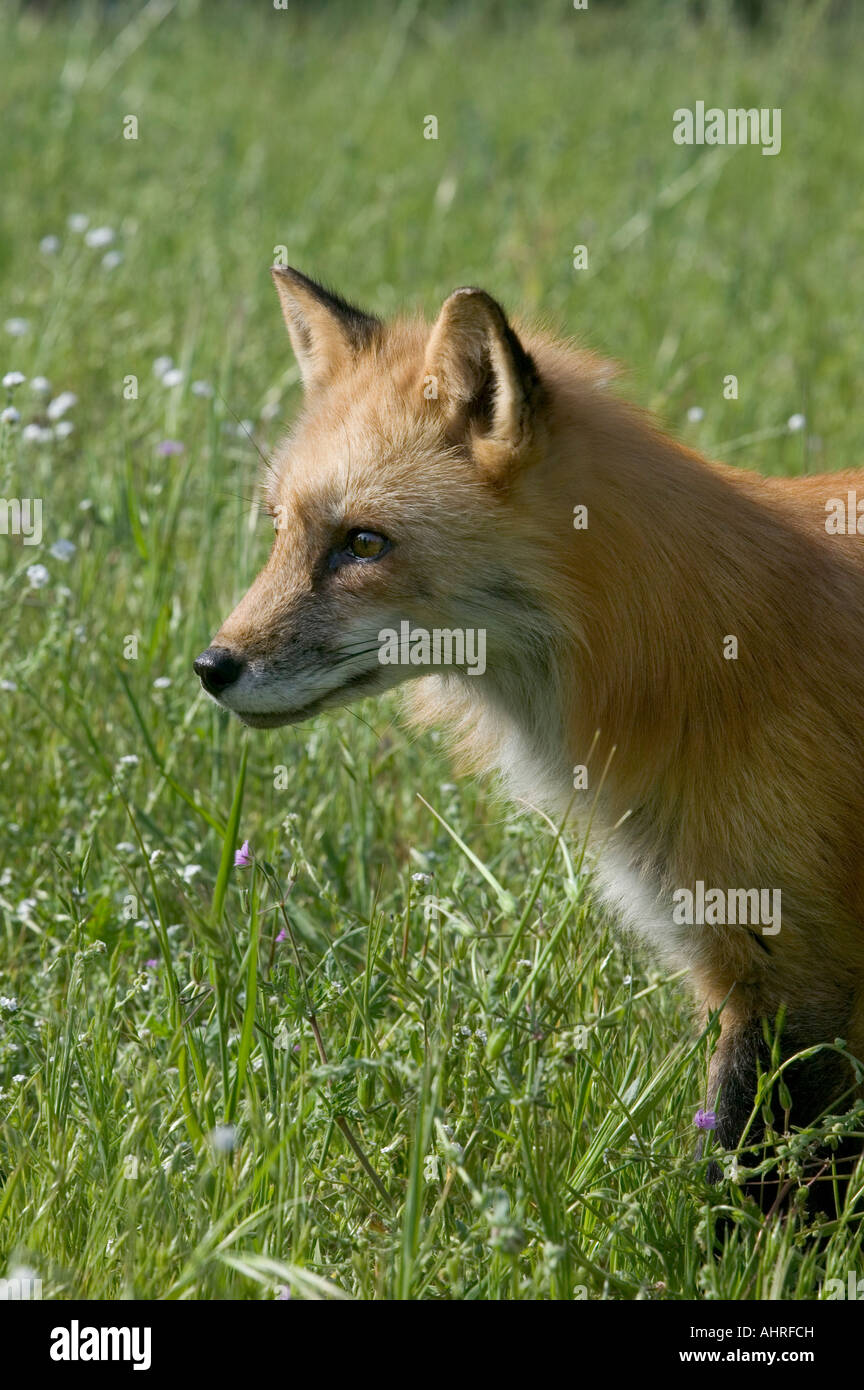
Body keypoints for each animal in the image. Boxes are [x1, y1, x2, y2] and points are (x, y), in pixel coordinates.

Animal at [196, 266, 864, 1203]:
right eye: (280, 527)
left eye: (362, 542)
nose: (211, 667)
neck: (689, 653)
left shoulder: (797, 980)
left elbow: (741, 1187)